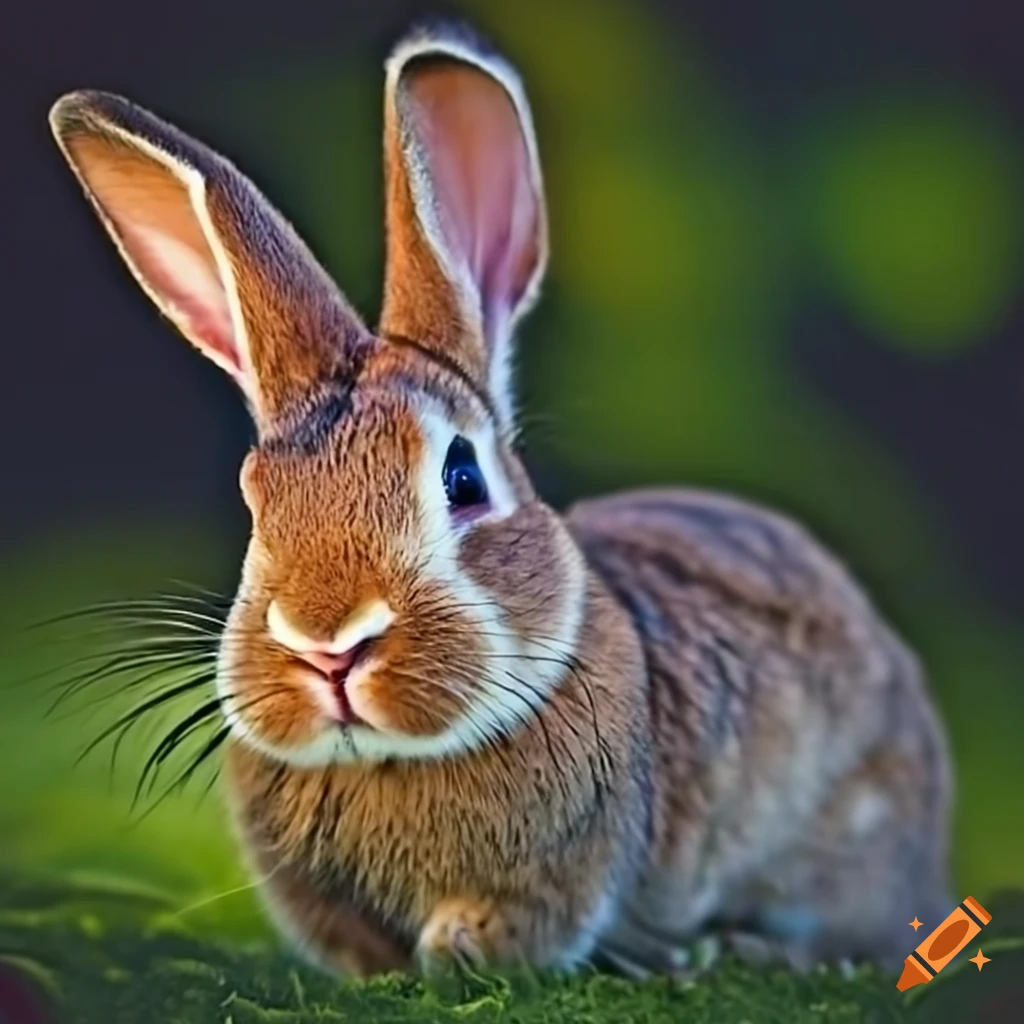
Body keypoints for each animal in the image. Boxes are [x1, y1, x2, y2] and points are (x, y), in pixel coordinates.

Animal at [48, 19, 952, 979]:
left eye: (463, 479)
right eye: (256, 501)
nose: (327, 646)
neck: (393, 759)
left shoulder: (565, 873)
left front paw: (459, 944)